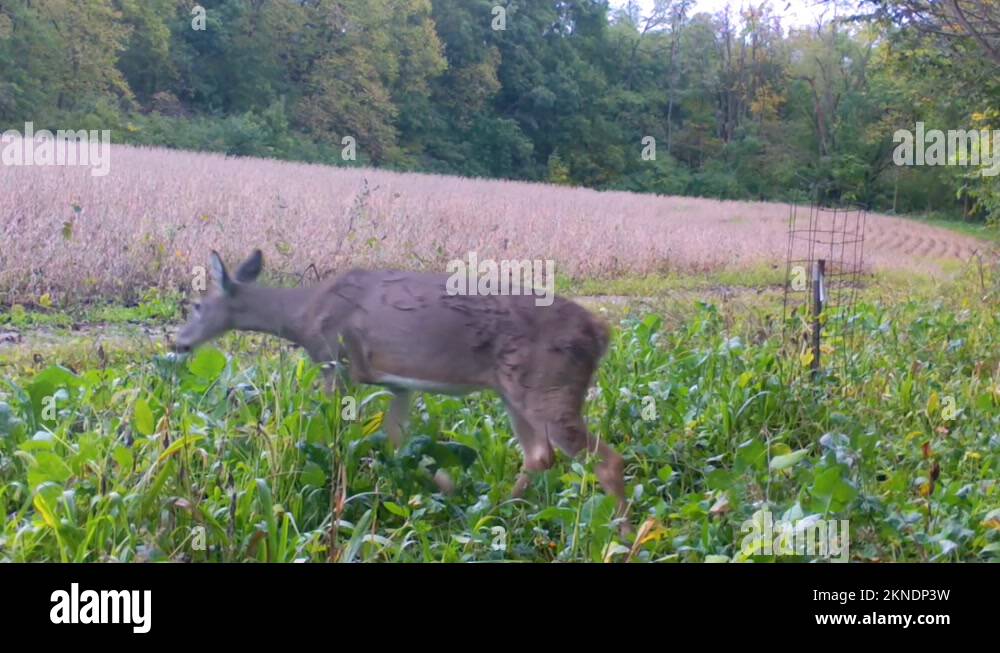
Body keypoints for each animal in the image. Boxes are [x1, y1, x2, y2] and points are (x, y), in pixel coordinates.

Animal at [173, 250, 630, 534]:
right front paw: (446, 489)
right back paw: (495, 514)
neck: (303, 316)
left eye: (196, 305)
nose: (177, 343)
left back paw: (624, 537)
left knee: (607, 460)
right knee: (540, 455)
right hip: (514, 389)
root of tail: (601, 334)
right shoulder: (394, 382)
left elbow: (339, 433)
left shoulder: (336, 361)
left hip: (548, 385)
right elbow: (397, 441)